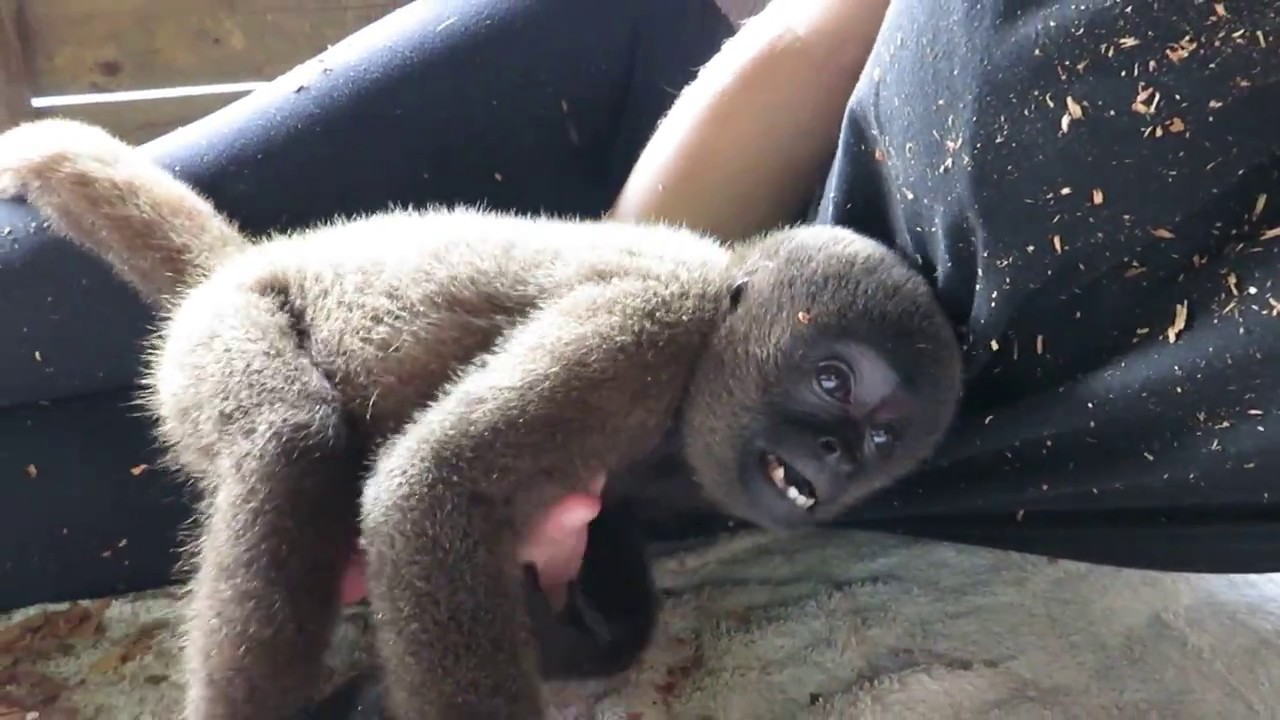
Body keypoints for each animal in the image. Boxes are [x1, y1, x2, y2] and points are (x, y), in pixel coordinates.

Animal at [0, 118, 963, 719]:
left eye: (883, 437)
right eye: (833, 380)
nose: (837, 452)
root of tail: (247, 262)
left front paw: (568, 625)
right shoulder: (644, 332)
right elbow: (434, 485)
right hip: (222, 331)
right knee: (290, 441)